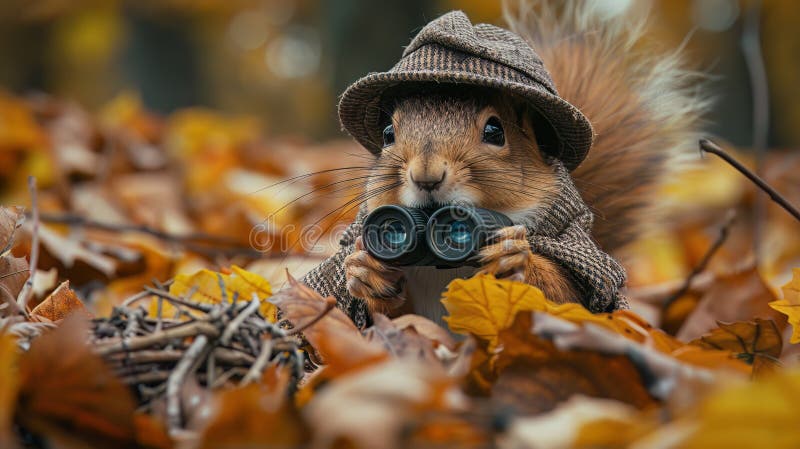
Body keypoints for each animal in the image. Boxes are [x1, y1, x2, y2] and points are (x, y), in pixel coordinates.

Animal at [302, 2, 706, 329]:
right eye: (388, 133)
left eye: (495, 131)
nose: (426, 176)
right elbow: (394, 317)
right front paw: (364, 272)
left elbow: (567, 298)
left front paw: (514, 258)